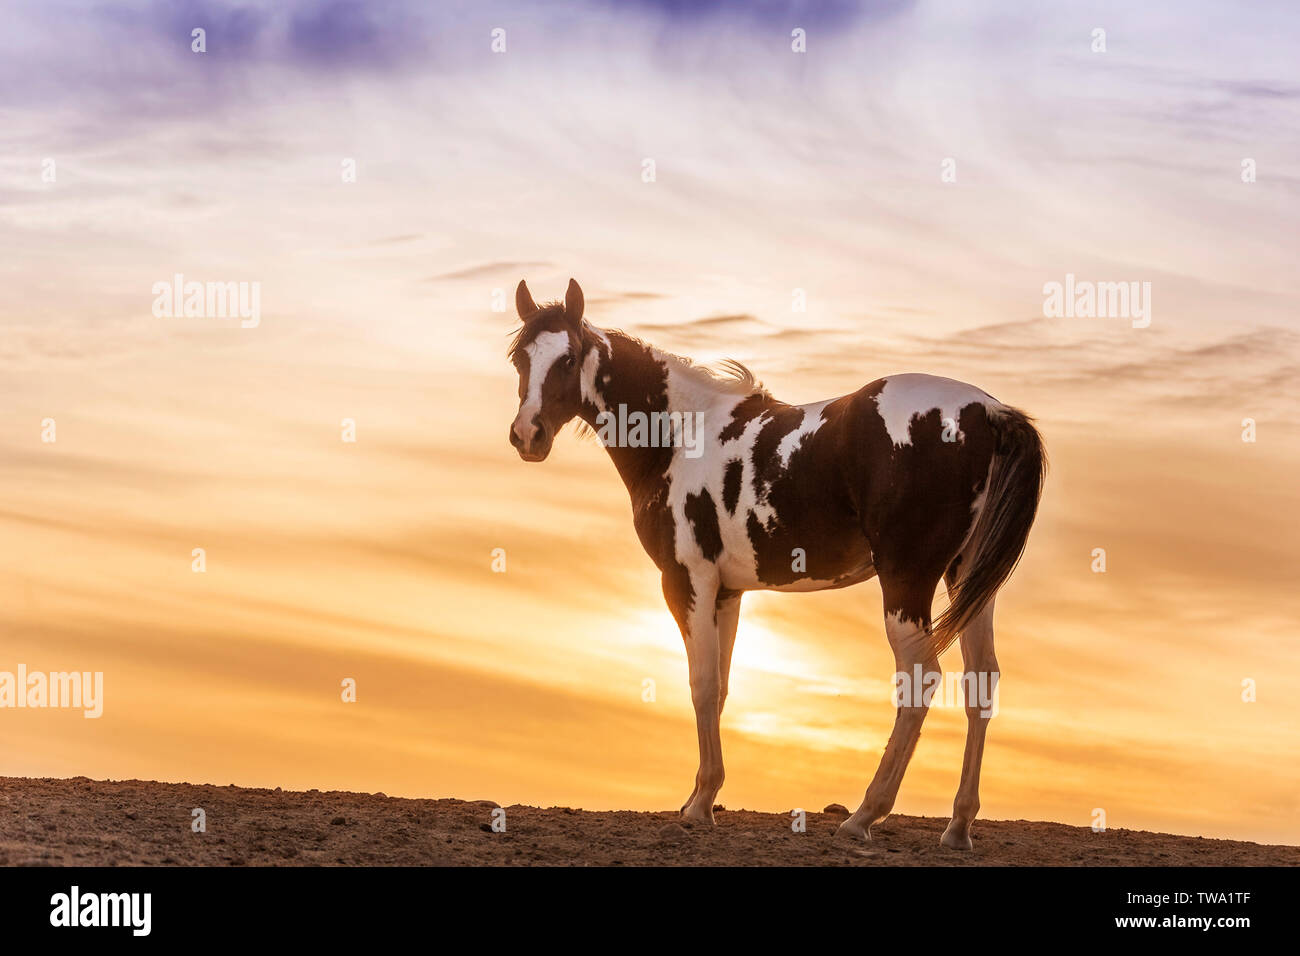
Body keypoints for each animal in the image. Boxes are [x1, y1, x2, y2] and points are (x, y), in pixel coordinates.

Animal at [507, 278, 1046, 849]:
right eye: (520, 358)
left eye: (567, 359)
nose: (527, 436)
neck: (682, 436)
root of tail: (990, 413)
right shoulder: (727, 591)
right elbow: (721, 688)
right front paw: (701, 798)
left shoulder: (687, 580)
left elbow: (700, 685)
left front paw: (700, 805)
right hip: (968, 582)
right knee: (980, 683)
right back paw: (958, 826)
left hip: (907, 582)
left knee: (919, 680)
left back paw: (863, 816)